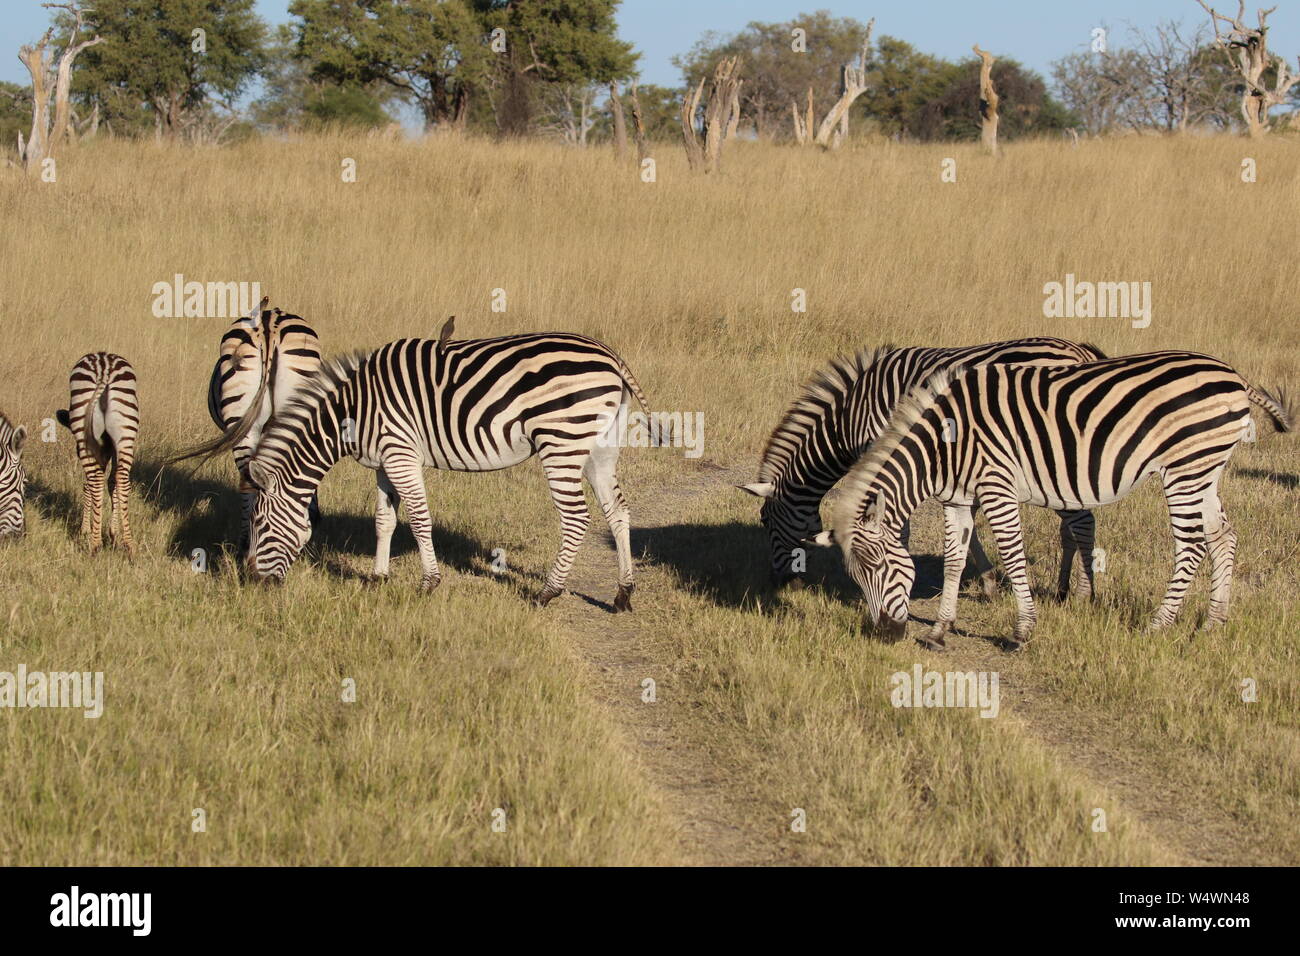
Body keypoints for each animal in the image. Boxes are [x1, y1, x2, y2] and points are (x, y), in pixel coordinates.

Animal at [55, 352, 140, 557]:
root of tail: (103, 371)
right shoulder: (111, 448)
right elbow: (112, 482)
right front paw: (113, 533)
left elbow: (90, 485)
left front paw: (87, 530)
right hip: (126, 432)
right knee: (122, 479)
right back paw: (129, 544)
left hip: (83, 429)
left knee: (94, 480)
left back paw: (95, 544)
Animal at [239, 320, 649, 610]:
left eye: (259, 524)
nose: (252, 582)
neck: (352, 410)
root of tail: (611, 357)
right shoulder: (383, 463)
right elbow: (384, 519)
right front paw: (378, 577)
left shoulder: (400, 454)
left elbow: (420, 519)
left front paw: (428, 584)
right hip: (599, 447)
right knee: (618, 511)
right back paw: (623, 593)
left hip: (561, 440)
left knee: (576, 518)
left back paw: (547, 593)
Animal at [740, 338, 1106, 596]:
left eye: (765, 520)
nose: (779, 583)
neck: (848, 419)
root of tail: (1081, 350)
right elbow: (966, 524)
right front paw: (987, 581)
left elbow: (898, 526)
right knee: (1072, 526)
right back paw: (1063, 591)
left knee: (1082, 522)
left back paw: (1083, 595)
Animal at [828, 351, 1292, 650]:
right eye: (857, 576)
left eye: (879, 567)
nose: (885, 635)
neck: (945, 443)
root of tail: (1233, 375)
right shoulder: (957, 500)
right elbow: (954, 560)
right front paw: (941, 629)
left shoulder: (997, 487)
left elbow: (1013, 556)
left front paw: (1023, 631)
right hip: (1205, 470)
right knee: (1223, 537)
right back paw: (1213, 624)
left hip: (1185, 468)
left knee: (1192, 545)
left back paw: (1159, 625)